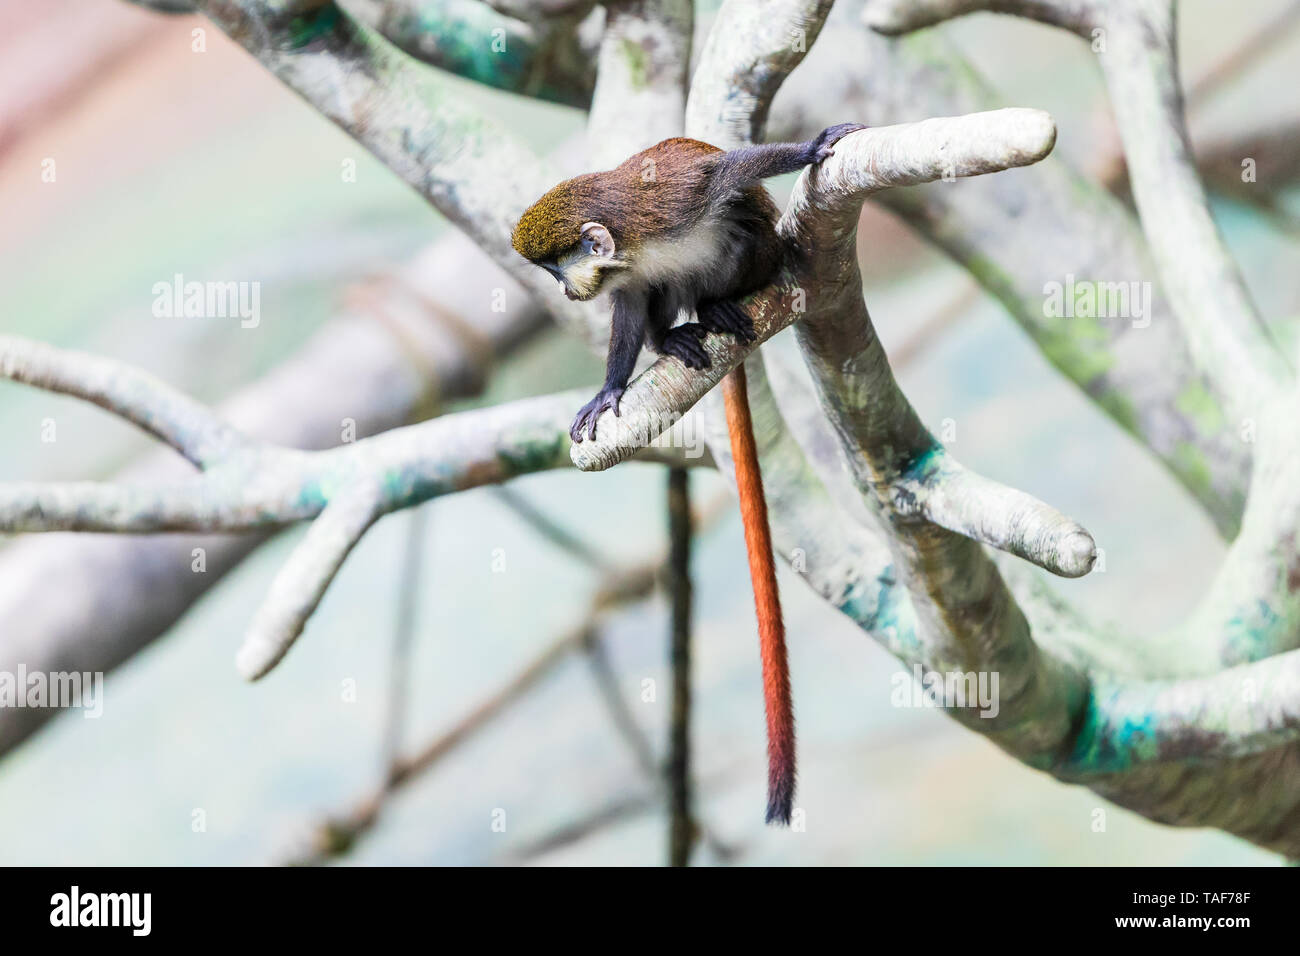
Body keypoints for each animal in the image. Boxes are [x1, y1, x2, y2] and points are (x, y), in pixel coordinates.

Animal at [511, 123, 864, 825]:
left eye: (555, 269)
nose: (562, 292)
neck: (634, 241)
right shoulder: (628, 274)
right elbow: (627, 308)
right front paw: (610, 389)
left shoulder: (680, 201)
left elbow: (732, 173)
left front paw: (812, 149)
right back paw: (672, 338)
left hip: (750, 255)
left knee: (745, 238)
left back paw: (717, 305)